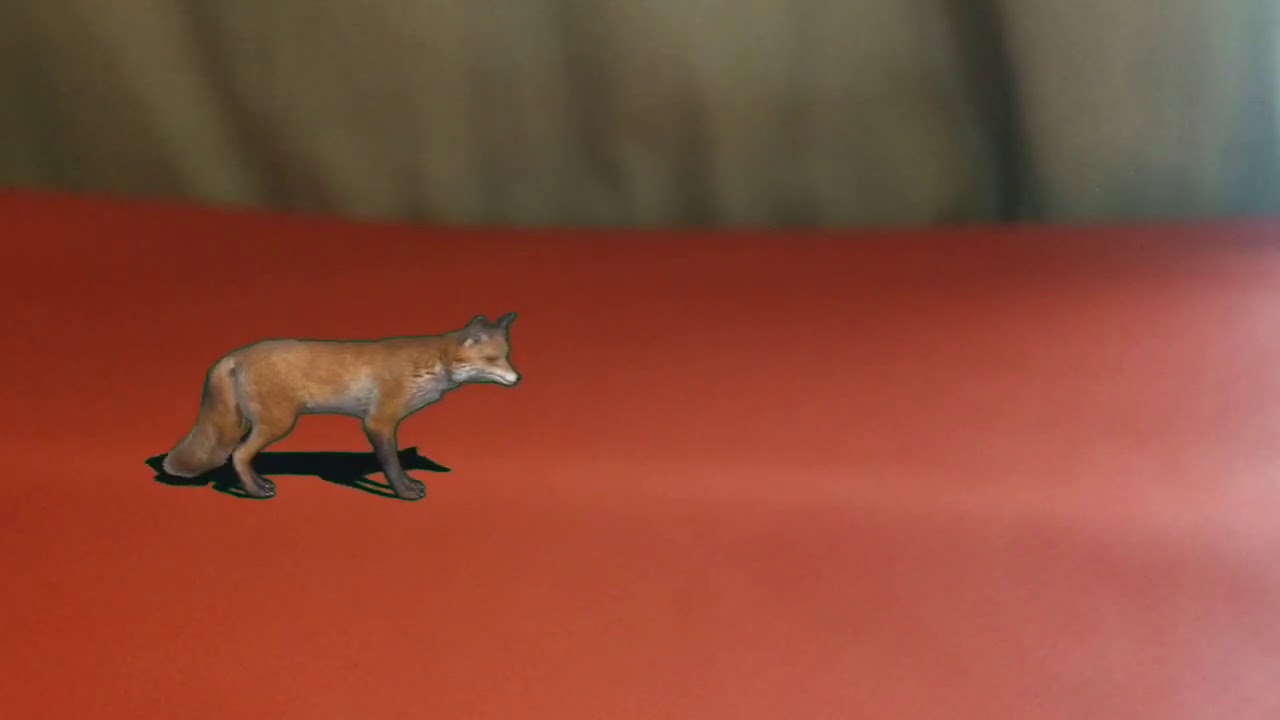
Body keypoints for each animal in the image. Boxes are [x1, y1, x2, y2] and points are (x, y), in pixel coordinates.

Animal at [161, 312, 521, 500]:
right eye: (492, 360)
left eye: (506, 356)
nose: (518, 378)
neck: (427, 365)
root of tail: (234, 355)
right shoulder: (378, 422)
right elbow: (391, 465)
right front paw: (404, 491)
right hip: (278, 423)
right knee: (238, 455)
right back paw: (257, 491)